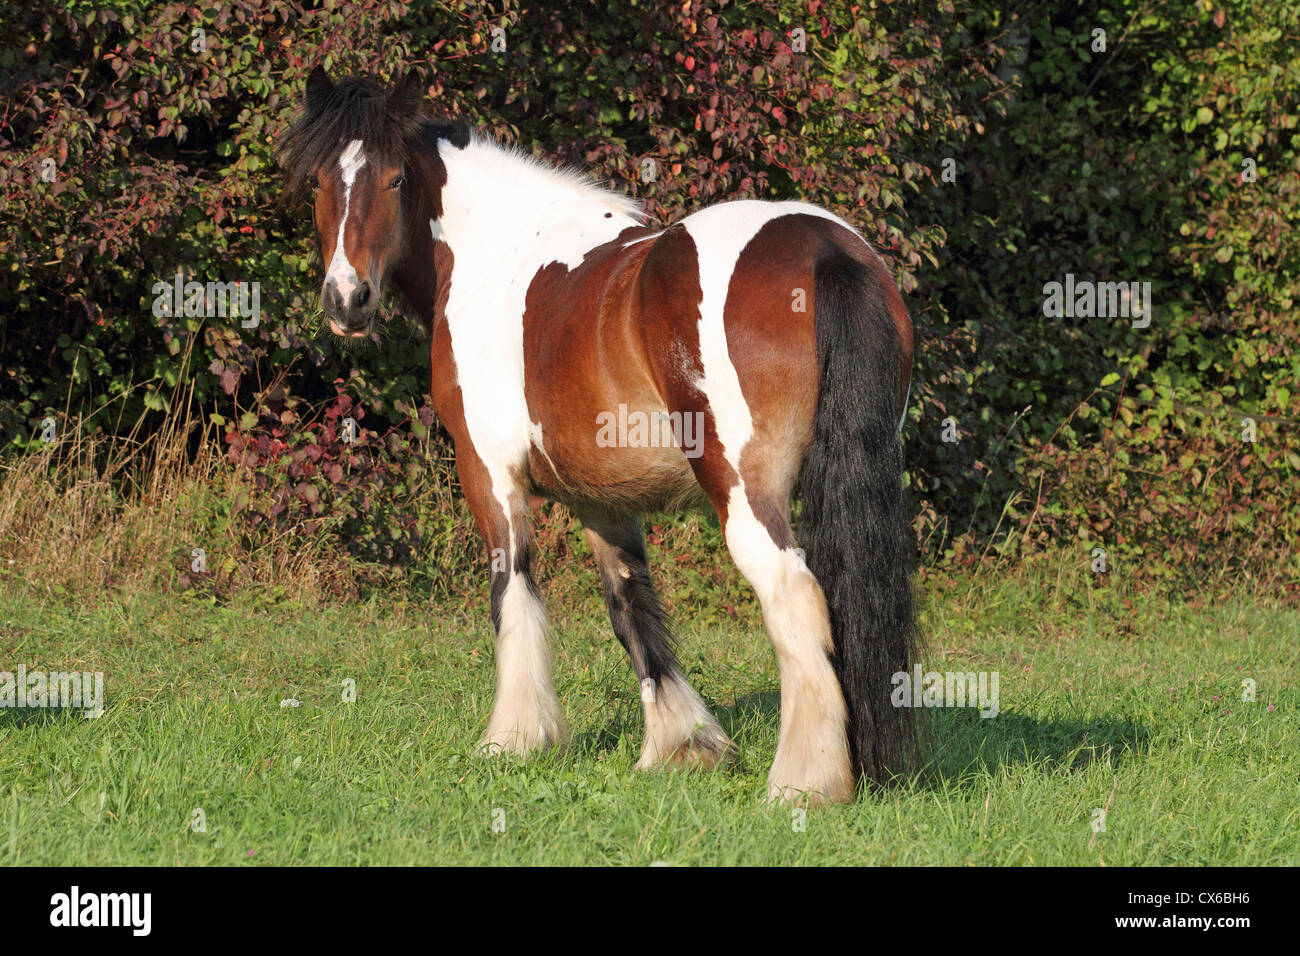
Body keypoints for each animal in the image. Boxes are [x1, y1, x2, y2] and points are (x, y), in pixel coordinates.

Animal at [281, 67, 917, 804]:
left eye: (393, 179)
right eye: (321, 181)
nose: (345, 299)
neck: (498, 256)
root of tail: (823, 249)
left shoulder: (488, 477)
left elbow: (513, 592)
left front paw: (515, 739)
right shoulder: (603, 498)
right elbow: (629, 605)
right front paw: (682, 745)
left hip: (743, 490)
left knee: (792, 594)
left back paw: (803, 781)